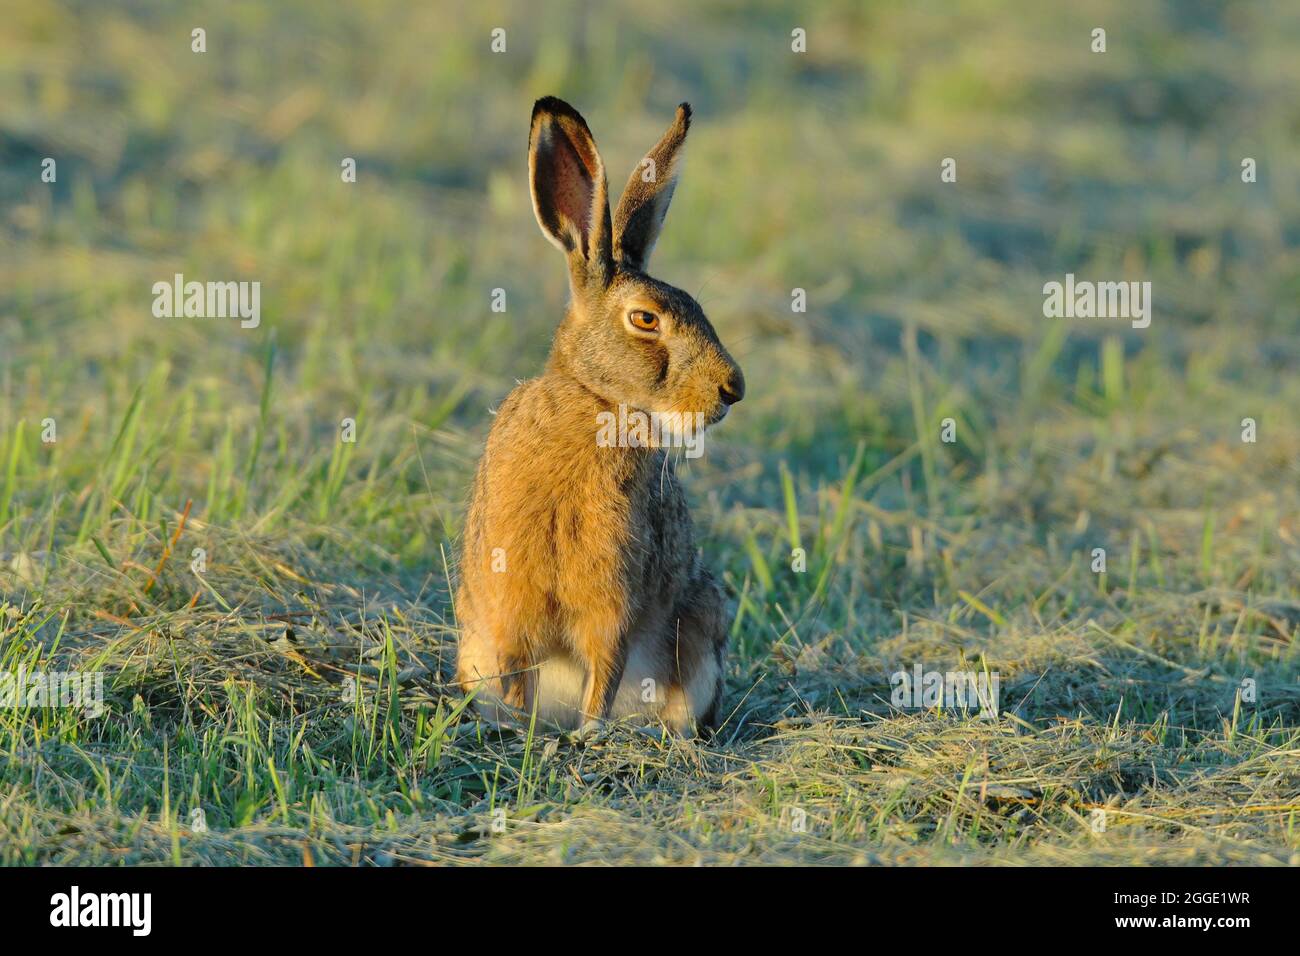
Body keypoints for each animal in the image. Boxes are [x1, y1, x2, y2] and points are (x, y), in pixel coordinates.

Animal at [455, 96, 745, 736]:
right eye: (646, 320)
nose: (733, 389)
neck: (596, 402)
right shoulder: (512, 602)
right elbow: (518, 667)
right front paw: (523, 727)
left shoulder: (614, 601)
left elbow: (606, 669)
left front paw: (589, 731)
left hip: (700, 620)